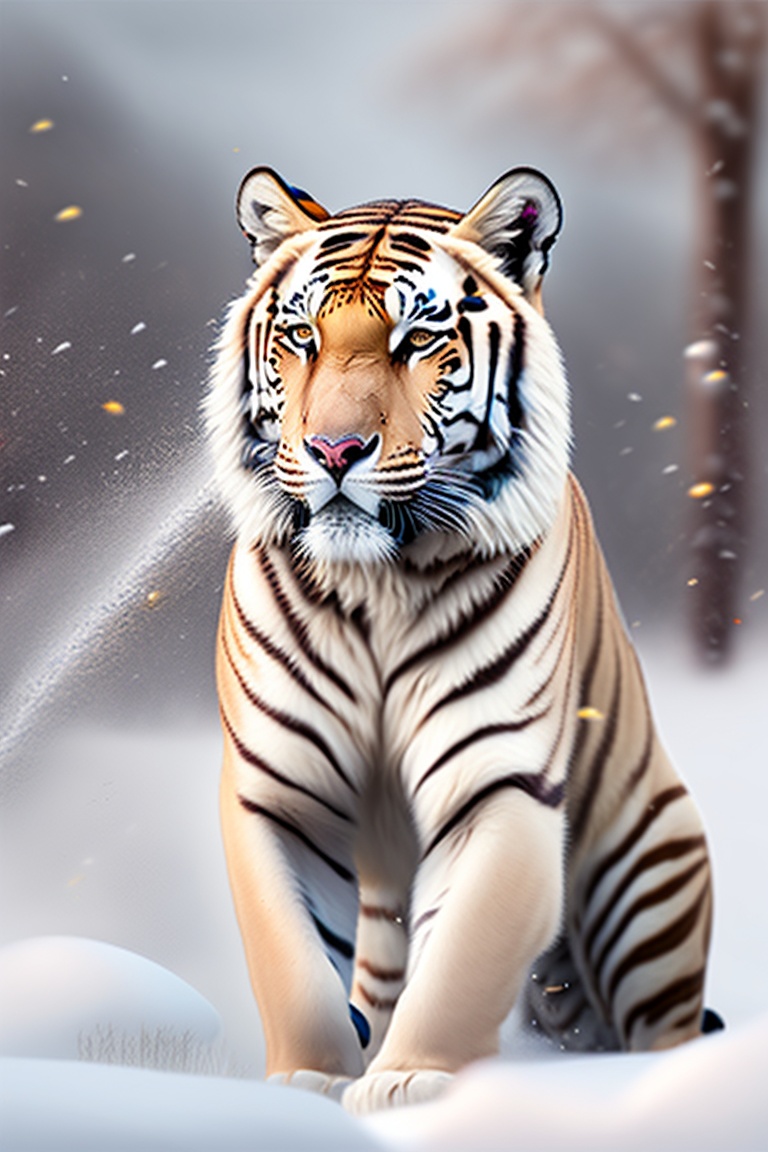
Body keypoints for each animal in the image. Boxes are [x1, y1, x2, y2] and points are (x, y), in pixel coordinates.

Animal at [204, 166, 714, 1114]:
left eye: (416, 339)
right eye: (301, 336)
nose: (334, 449)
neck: (376, 581)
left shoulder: (499, 784)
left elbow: (466, 951)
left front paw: (414, 1085)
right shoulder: (278, 789)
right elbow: (293, 956)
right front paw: (312, 1082)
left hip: (647, 858)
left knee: (658, 1025)